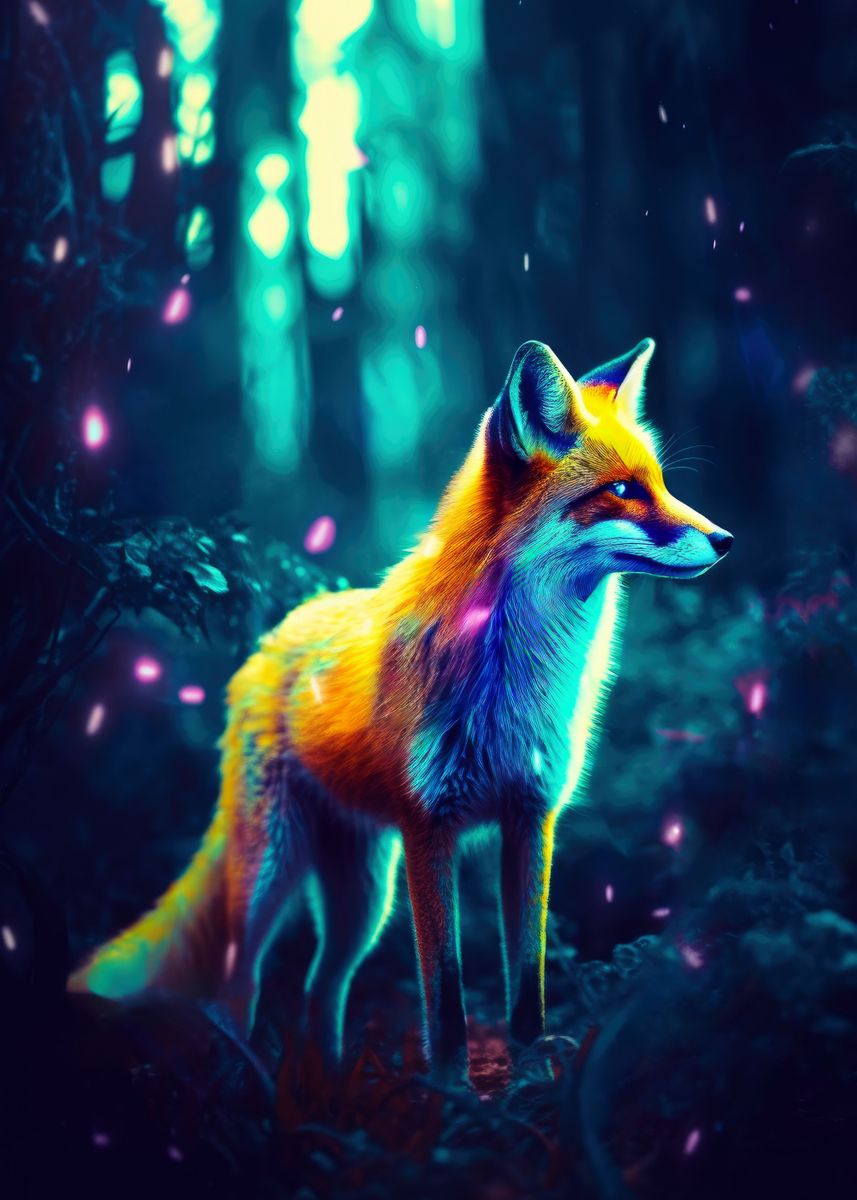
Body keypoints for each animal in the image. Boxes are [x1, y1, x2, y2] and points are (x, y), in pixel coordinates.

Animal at [69, 338, 732, 1076]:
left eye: (662, 484)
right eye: (622, 490)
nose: (725, 538)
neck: (513, 679)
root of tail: (277, 631)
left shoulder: (531, 818)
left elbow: (526, 981)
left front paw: (530, 1073)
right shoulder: (429, 825)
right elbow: (444, 997)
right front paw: (452, 1092)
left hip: (364, 896)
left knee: (320, 985)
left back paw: (328, 1084)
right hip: (273, 868)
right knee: (238, 988)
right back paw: (250, 1081)